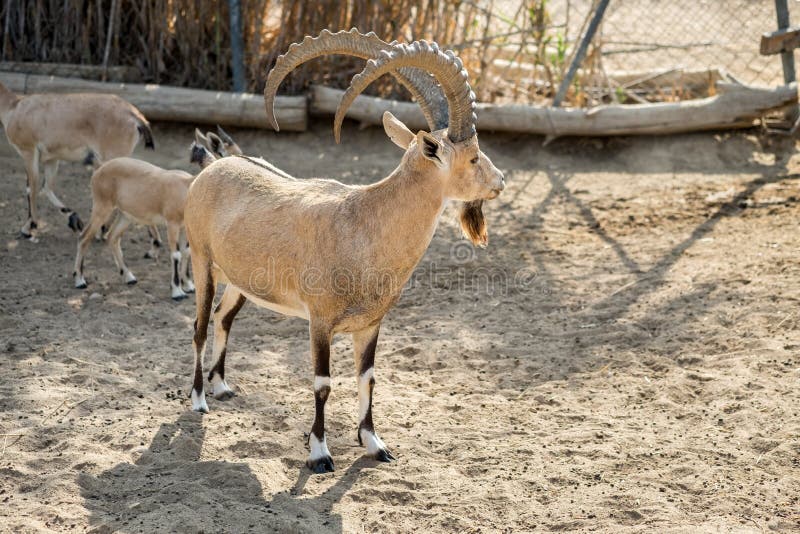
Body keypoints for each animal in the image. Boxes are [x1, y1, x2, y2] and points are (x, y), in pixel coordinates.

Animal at [0, 82, 154, 240]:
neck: (13, 107)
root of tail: (136, 117)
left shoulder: (28, 151)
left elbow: (31, 189)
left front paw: (28, 228)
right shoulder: (52, 159)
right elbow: (46, 188)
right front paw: (74, 220)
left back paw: (101, 233)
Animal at [73, 157, 195, 300]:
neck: (186, 186)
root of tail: (98, 171)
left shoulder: (184, 228)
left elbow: (186, 252)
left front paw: (189, 286)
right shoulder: (172, 224)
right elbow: (176, 255)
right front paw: (177, 292)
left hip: (124, 216)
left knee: (112, 237)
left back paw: (129, 277)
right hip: (102, 208)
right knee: (84, 238)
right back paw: (80, 281)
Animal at [184, 30, 504, 474]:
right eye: (473, 157)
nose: (501, 181)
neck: (363, 226)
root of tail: (213, 166)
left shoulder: (370, 325)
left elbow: (367, 377)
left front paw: (375, 444)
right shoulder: (320, 322)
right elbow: (322, 384)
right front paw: (319, 453)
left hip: (240, 282)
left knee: (222, 317)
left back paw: (222, 386)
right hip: (202, 262)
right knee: (199, 324)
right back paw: (198, 400)